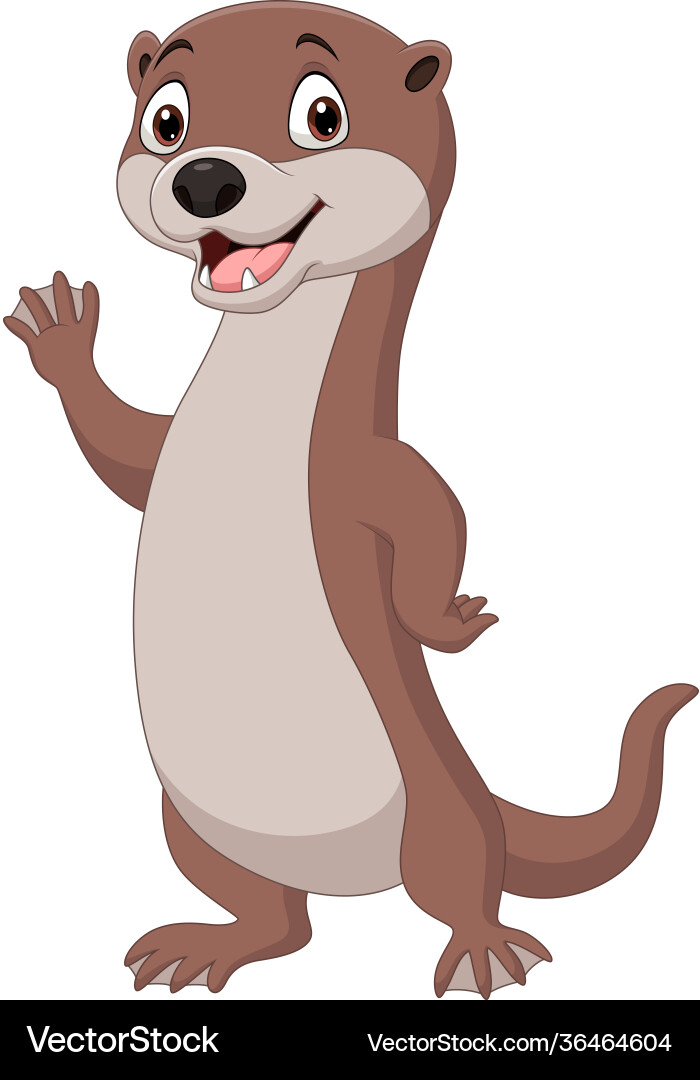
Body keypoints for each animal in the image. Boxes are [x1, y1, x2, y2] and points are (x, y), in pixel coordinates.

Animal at [4, 2, 697, 999]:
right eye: (166, 119)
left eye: (321, 116)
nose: (204, 178)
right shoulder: (169, 444)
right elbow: (124, 455)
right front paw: (62, 343)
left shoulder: (364, 469)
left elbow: (437, 516)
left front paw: (448, 622)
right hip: (189, 824)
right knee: (281, 923)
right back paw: (213, 941)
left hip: (436, 807)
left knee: (457, 876)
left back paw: (483, 947)